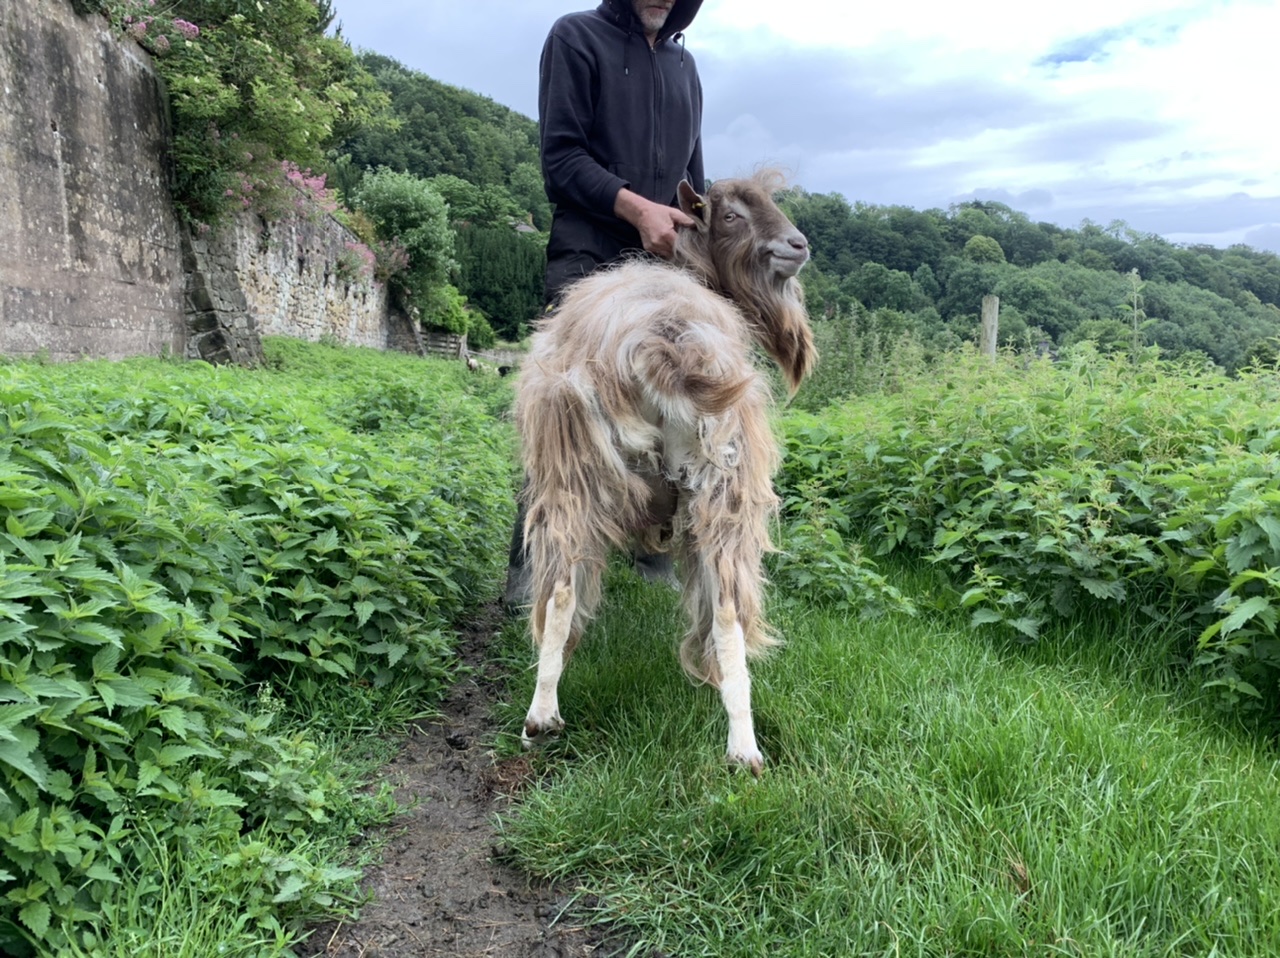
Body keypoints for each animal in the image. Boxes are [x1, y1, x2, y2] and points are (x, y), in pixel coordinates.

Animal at [514, 170, 815, 774]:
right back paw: (741, 740)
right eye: (731, 215)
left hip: (578, 471)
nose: (798, 246)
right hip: (722, 476)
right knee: (725, 607)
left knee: (562, 588)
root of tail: (664, 338)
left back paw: (543, 716)